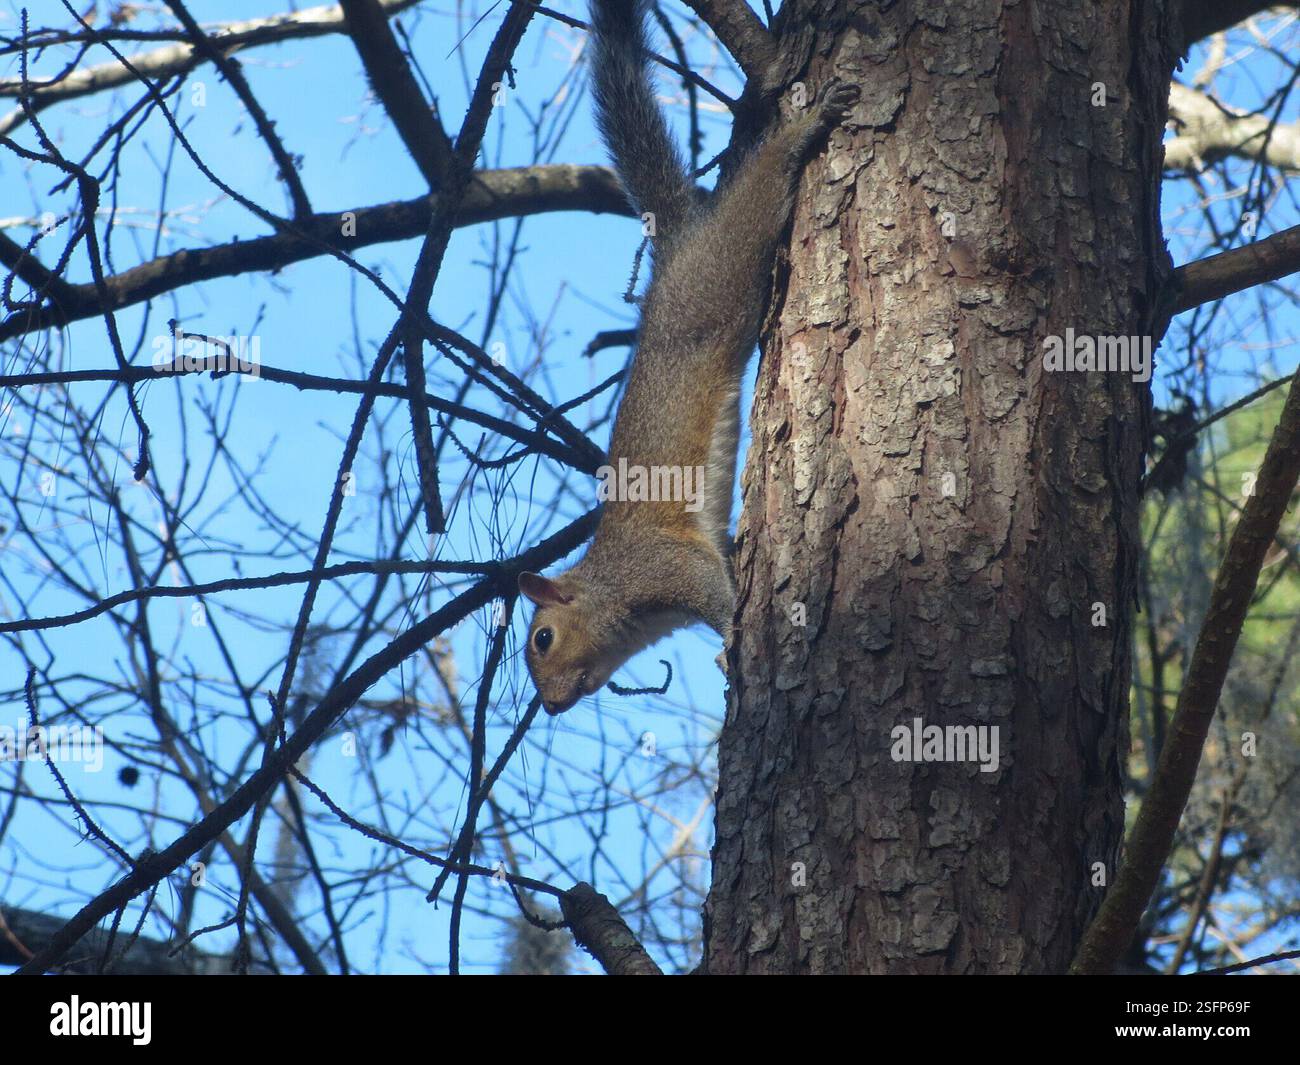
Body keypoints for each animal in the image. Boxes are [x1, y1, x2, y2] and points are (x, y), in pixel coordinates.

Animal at [519, 0, 858, 715]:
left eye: (542, 638)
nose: (554, 706)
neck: (612, 589)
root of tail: (675, 247)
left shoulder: (666, 568)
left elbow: (716, 593)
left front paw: (734, 643)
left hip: (721, 271)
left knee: (756, 199)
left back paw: (804, 127)